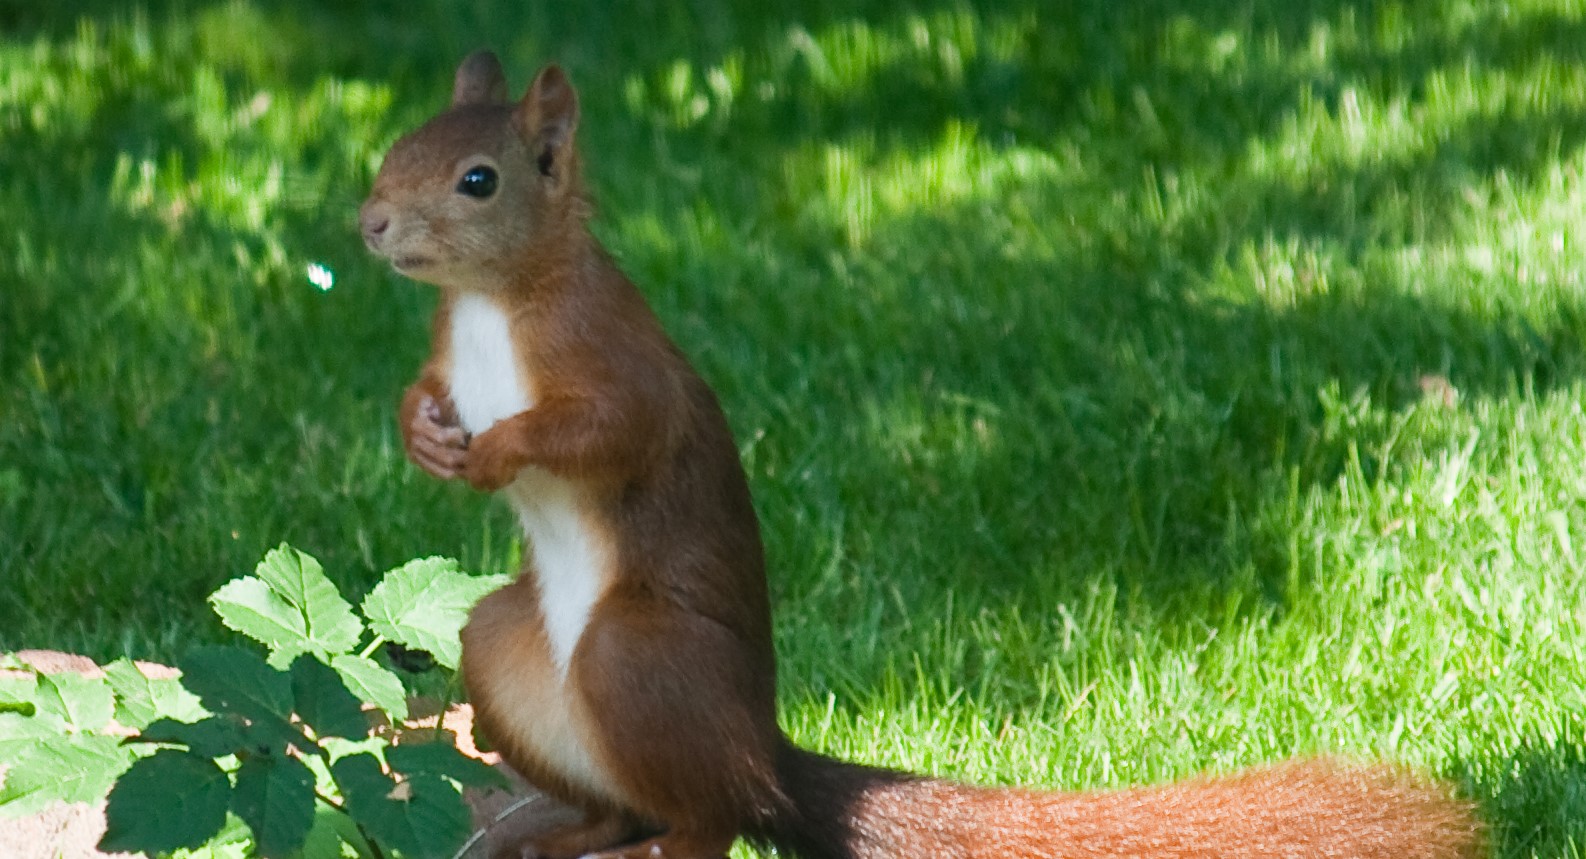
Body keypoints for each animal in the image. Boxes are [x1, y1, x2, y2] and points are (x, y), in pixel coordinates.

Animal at [359, 51, 1485, 859]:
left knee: (709, 820)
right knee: (628, 800)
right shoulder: (448, 354)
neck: (493, 302)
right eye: (395, 147)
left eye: (476, 180)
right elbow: (421, 391)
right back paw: (568, 836)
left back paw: (664, 842)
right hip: (504, 647)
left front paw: (497, 453)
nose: (368, 222)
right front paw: (424, 434)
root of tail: (761, 755)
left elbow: (610, 430)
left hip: (635, 656)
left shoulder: (611, 355)